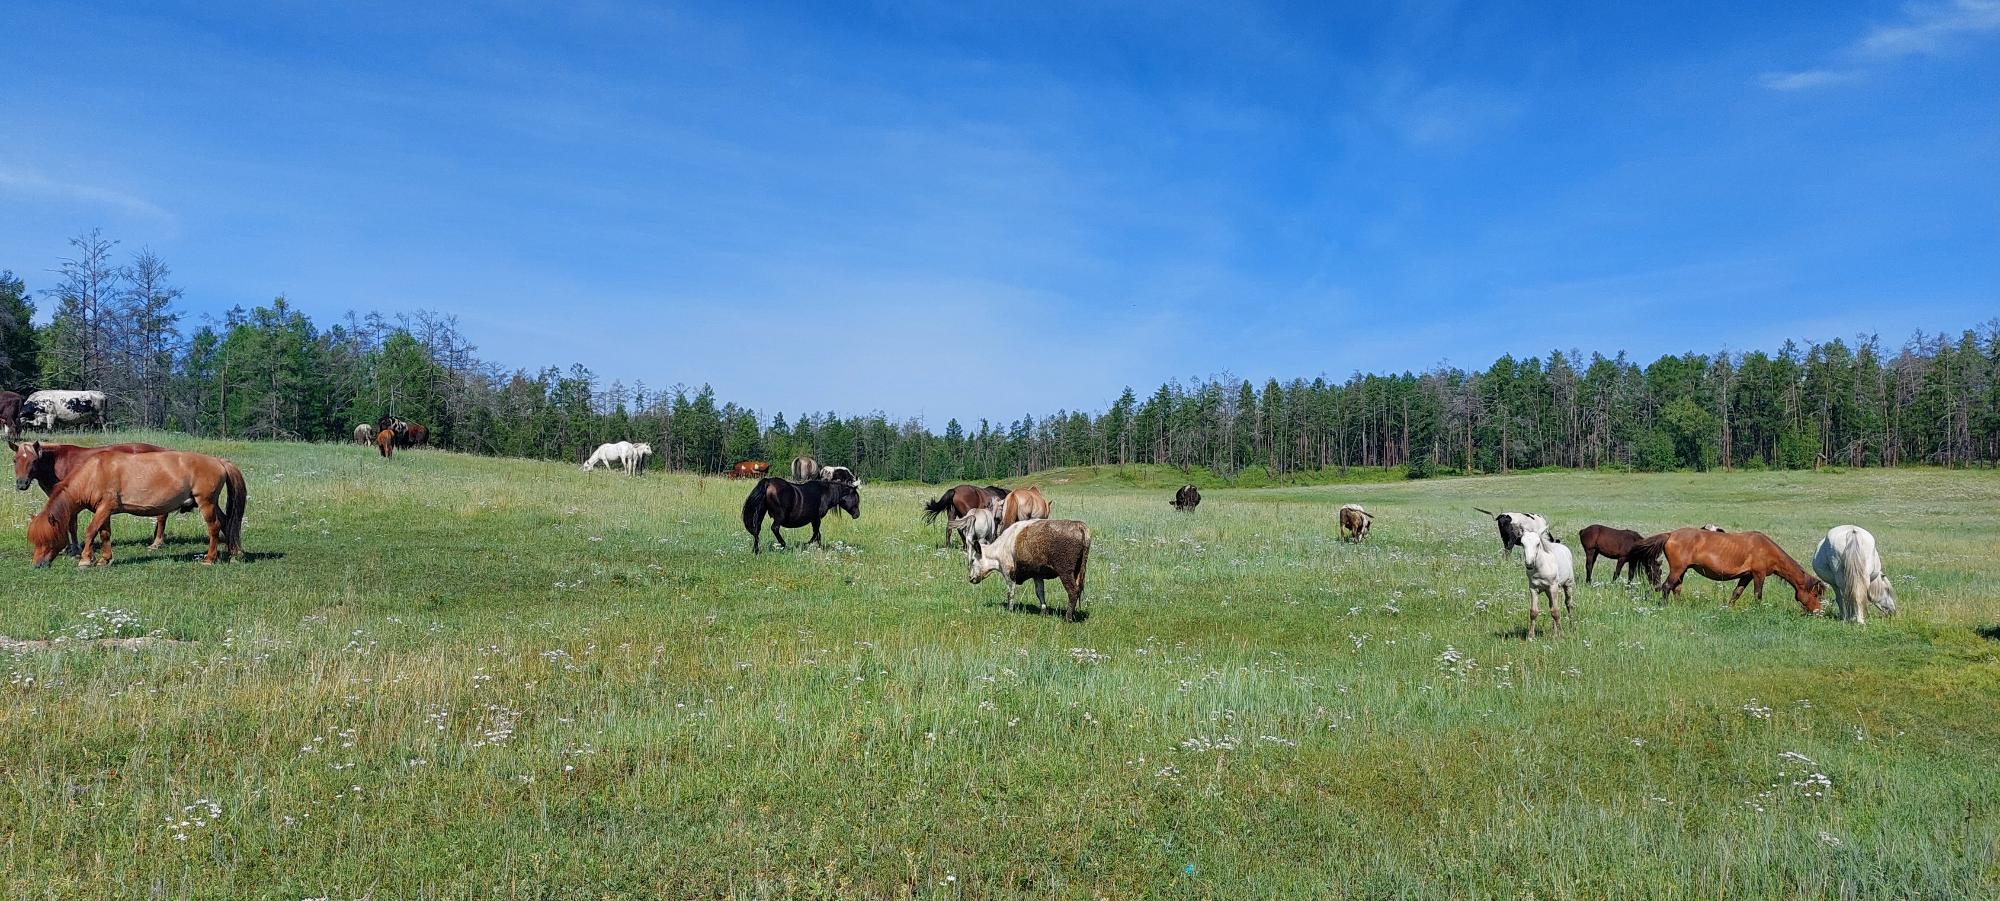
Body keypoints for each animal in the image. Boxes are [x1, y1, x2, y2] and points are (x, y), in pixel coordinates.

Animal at [12, 438, 178, 548]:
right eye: (15, 460)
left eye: (34, 460)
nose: (21, 483)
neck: (58, 463)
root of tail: (165, 451)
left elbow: (71, 524)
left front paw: (74, 549)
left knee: (161, 516)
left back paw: (156, 543)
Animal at [29, 450, 244, 568]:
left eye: (47, 540)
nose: (38, 565)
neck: (94, 473)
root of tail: (218, 461)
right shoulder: (104, 511)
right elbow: (105, 534)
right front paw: (105, 559)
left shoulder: (104, 508)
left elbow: (90, 531)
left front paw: (85, 560)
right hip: (211, 503)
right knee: (227, 523)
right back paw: (234, 555)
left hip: (206, 503)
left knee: (214, 528)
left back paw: (209, 558)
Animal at [1632, 528, 1824, 612]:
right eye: (1815, 594)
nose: (1817, 612)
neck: (1766, 549)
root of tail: (1670, 534)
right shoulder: (1758, 574)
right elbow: (1758, 595)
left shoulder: (1746, 576)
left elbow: (1736, 593)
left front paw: (1728, 608)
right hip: (1678, 569)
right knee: (1666, 587)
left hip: (1683, 570)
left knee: (1676, 589)